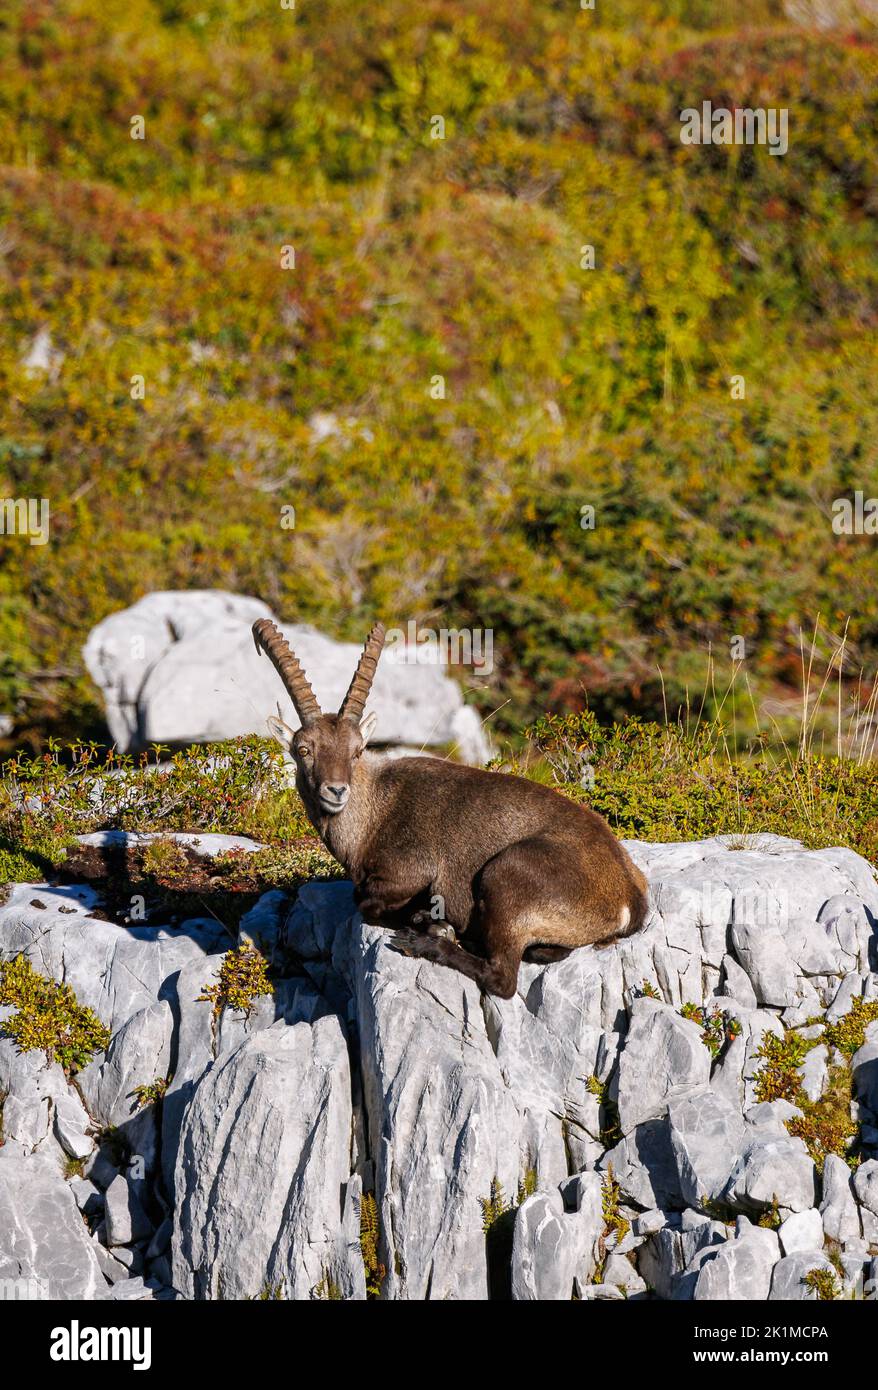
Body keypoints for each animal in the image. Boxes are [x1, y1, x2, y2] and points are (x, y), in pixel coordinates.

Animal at [253, 619, 649, 998]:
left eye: (357, 750)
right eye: (304, 750)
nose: (336, 791)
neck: (372, 815)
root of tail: (628, 895)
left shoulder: (408, 870)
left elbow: (365, 901)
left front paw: (428, 921)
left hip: (506, 875)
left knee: (502, 978)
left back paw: (429, 941)